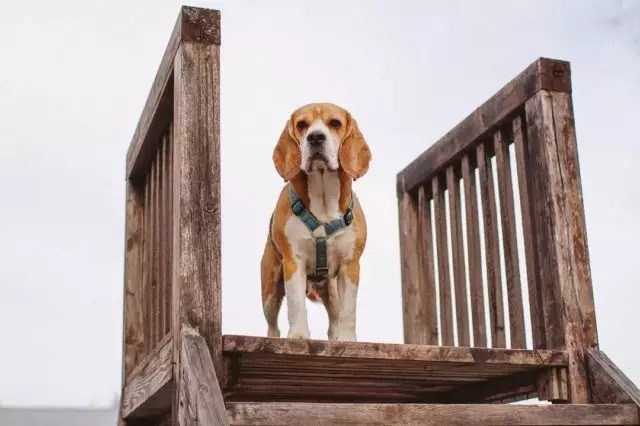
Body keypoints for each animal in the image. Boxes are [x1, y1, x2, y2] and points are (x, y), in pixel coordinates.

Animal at [258, 101, 370, 342]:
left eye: (335, 123)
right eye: (302, 125)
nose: (316, 137)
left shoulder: (350, 265)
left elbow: (349, 311)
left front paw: (347, 340)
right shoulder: (294, 262)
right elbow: (296, 305)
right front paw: (299, 335)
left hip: (332, 289)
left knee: (334, 320)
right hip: (269, 290)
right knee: (272, 325)